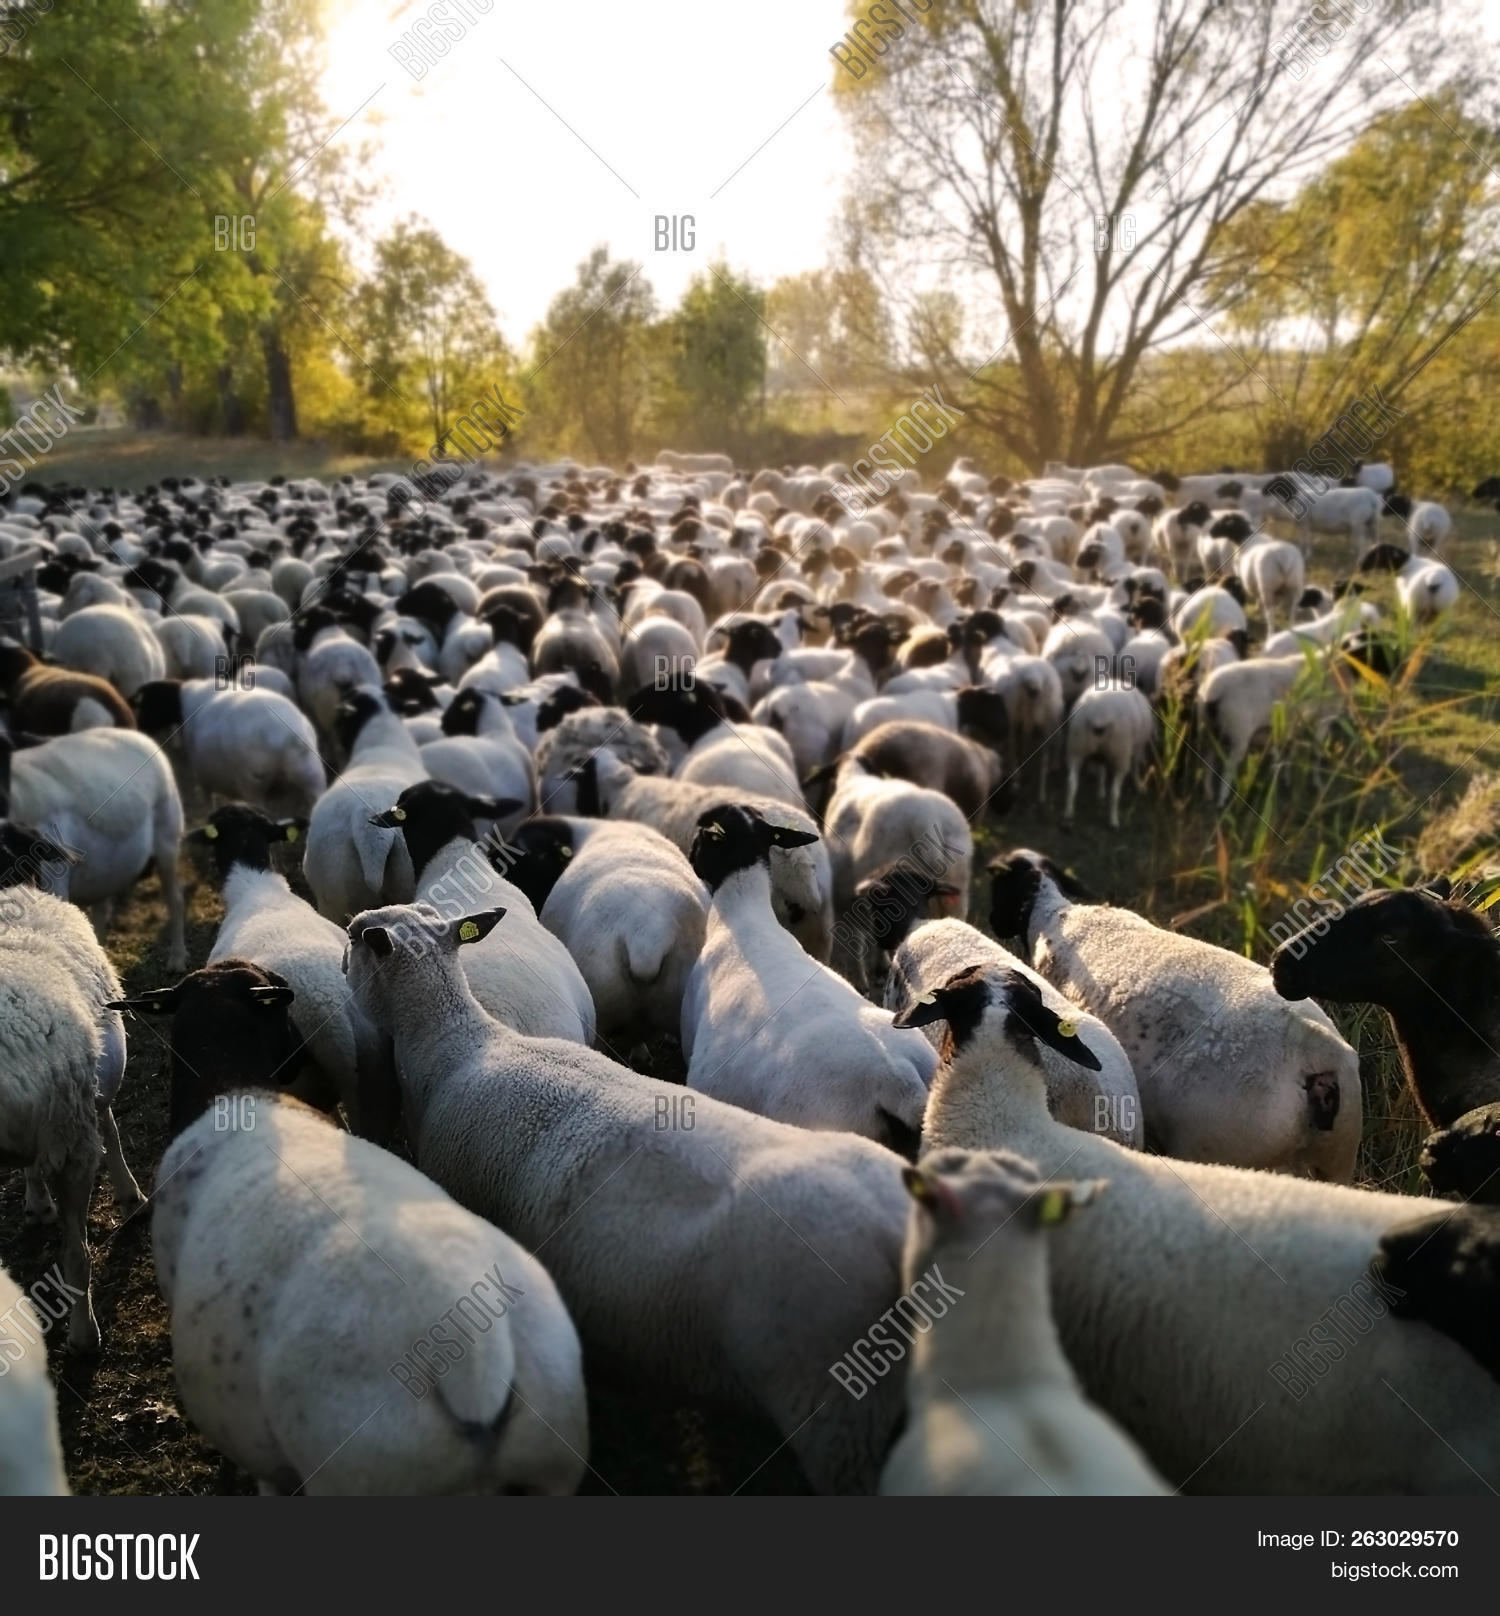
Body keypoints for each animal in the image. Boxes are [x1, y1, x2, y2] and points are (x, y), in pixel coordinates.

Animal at [6, 729, 186, 969]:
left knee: (174, 898)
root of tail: (134, 734)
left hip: (167, 840)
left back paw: (177, 958)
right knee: (101, 911)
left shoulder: (54, 878)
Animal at [133, 678, 326, 817]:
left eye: (149, 702)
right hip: (312, 775)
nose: (139, 729)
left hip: (252, 781)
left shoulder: (204, 775)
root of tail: (291, 735)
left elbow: (209, 800)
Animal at [1062, 680, 1154, 829]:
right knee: (1115, 792)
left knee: (1071, 783)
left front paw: (1100, 792)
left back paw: (1068, 812)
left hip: (1076, 748)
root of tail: (1100, 714)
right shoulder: (1138, 747)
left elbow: (1101, 772)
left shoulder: (1101, 756)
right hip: (1121, 752)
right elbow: (1135, 767)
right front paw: (1139, 785)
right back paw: (1113, 821)